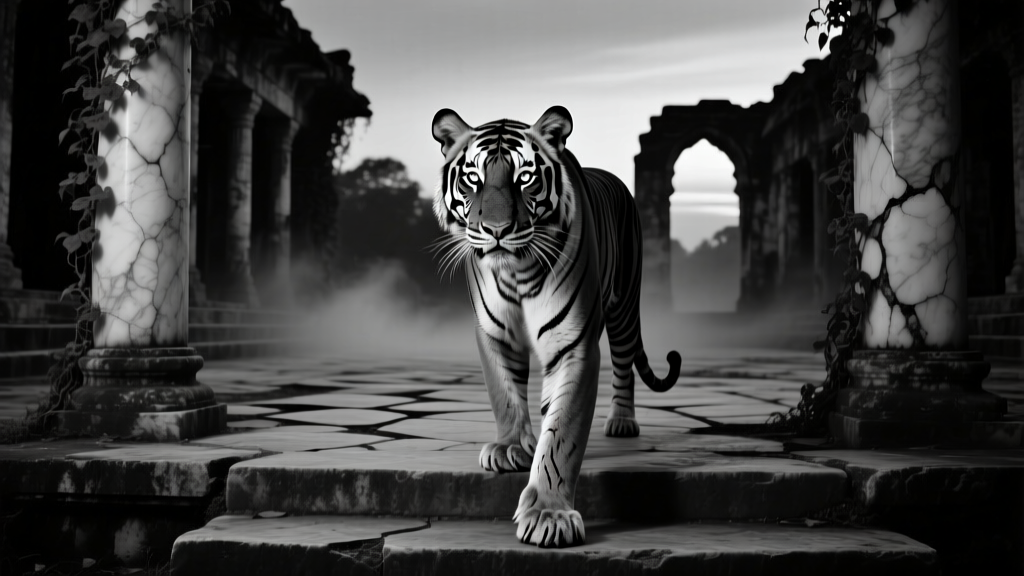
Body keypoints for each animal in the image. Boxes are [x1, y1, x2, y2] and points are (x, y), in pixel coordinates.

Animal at [430, 105, 681, 548]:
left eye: (524, 177)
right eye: (473, 178)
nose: (497, 230)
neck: (515, 272)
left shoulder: (574, 344)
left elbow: (562, 432)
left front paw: (549, 515)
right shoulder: (493, 333)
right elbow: (505, 394)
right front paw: (510, 448)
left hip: (623, 307)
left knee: (623, 365)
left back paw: (621, 422)